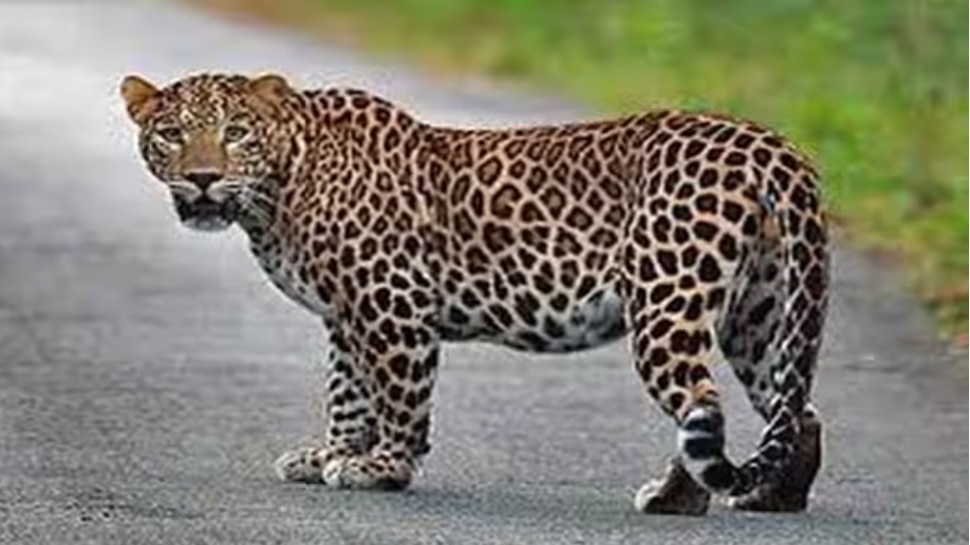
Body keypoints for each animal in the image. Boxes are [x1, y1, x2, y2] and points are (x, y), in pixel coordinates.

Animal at [120, 72, 828, 515]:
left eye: (236, 132)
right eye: (171, 134)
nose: (202, 178)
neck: (281, 185)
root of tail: (767, 142)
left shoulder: (390, 303)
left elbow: (397, 396)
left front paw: (384, 470)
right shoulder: (345, 316)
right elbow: (346, 393)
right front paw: (331, 454)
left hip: (667, 300)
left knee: (701, 403)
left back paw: (673, 501)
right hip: (760, 311)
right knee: (795, 409)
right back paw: (771, 498)